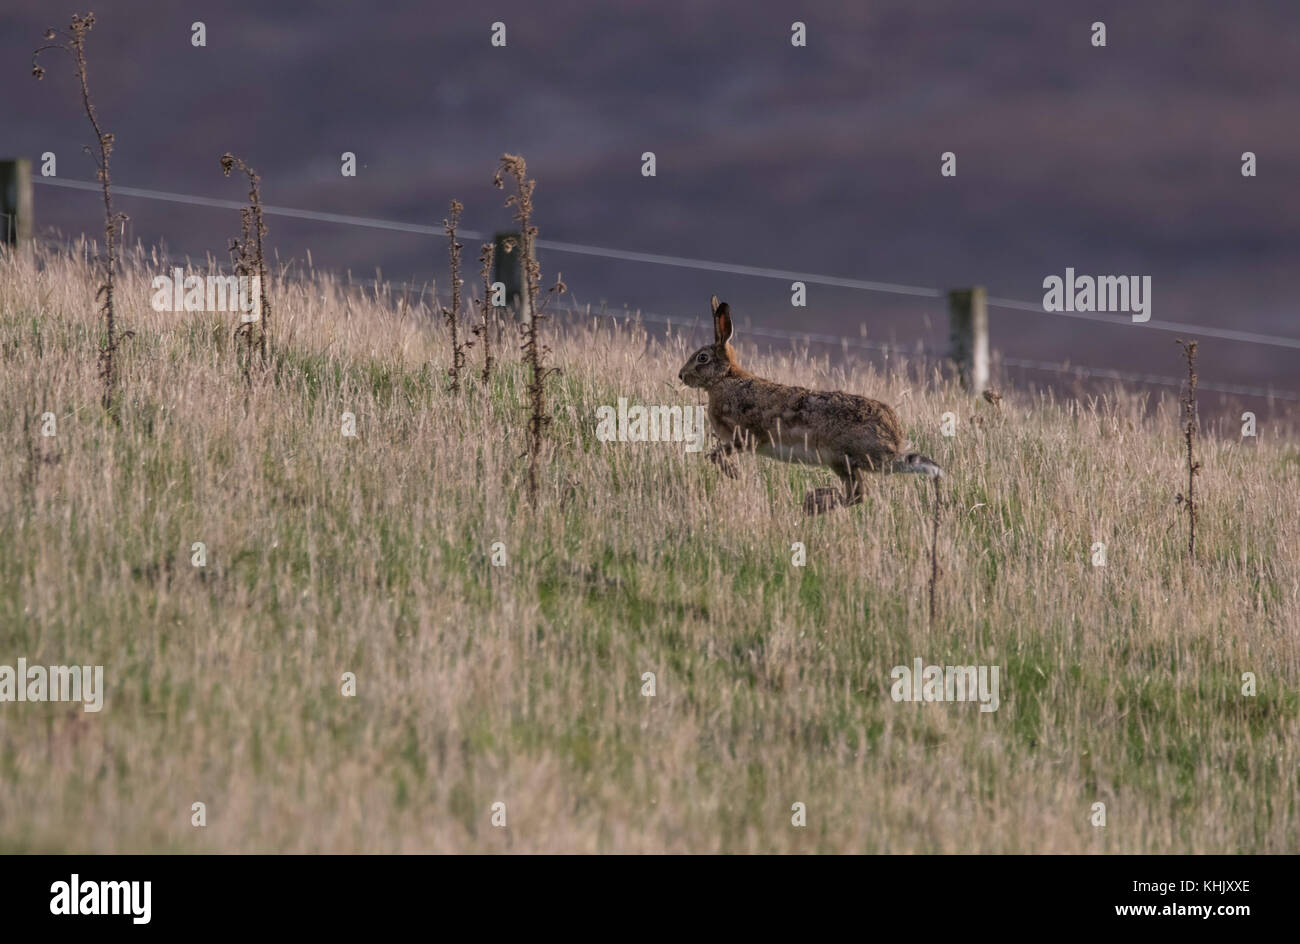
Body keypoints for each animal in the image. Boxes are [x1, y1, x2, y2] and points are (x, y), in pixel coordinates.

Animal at [678, 296, 942, 513]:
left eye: (702, 358)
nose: (681, 376)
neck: (725, 378)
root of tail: (894, 438)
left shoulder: (745, 435)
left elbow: (717, 454)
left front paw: (733, 474)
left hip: (840, 457)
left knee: (857, 494)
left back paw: (812, 503)